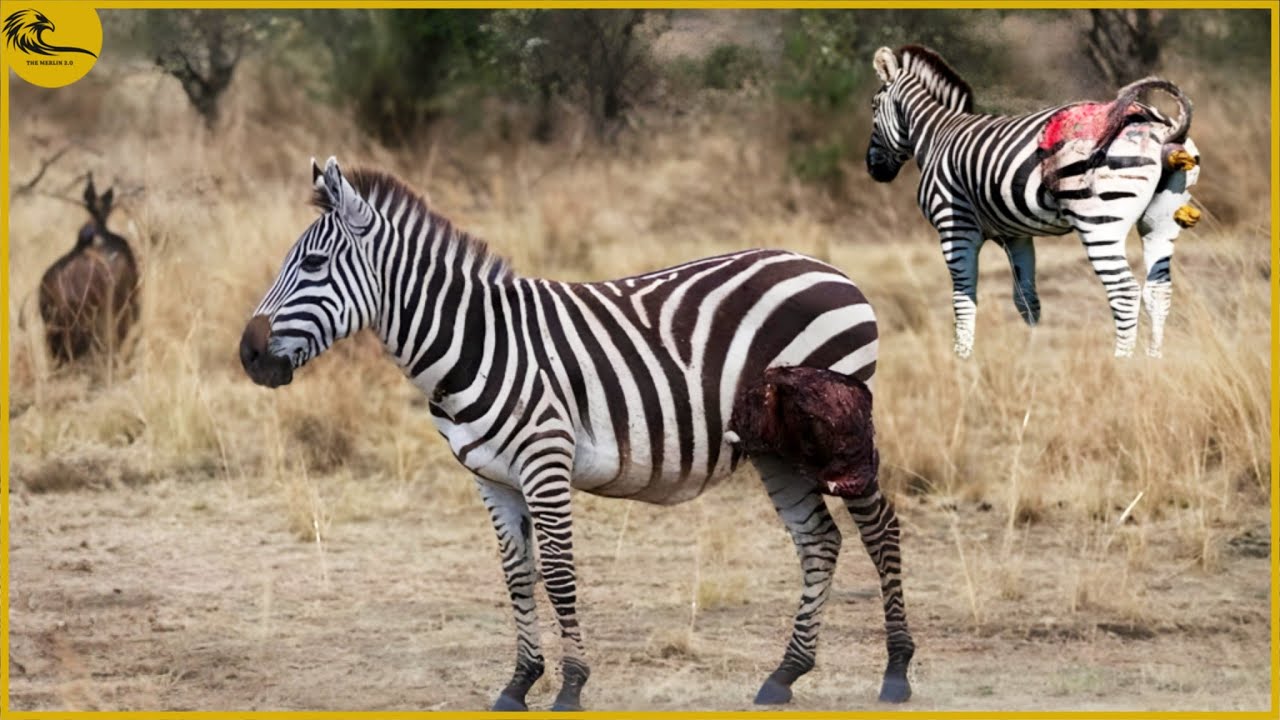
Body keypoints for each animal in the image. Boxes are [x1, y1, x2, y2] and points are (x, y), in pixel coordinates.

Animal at [239, 157, 915, 710]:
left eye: (314, 264)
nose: (248, 356)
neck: (473, 342)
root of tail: (831, 269)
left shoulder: (546, 461)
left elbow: (560, 574)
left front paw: (570, 686)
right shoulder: (491, 478)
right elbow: (518, 575)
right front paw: (518, 684)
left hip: (836, 431)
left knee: (880, 529)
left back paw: (896, 671)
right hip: (778, 450)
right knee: (819, 540)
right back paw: (784, 675)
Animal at [865, 44, 1202, 359]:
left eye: (873, 106)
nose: (873, 168)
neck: (936, 134)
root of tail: (1159, 123)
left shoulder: (954, 226)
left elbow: (962, 300)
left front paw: (962, 362)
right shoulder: (1016, 236)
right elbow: (1027, 300)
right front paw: (1029, 359)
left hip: (1099, 221)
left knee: (1125, 293)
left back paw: (1122, 365)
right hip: (1160, 220)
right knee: (1158, 291)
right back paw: (1152, 363)